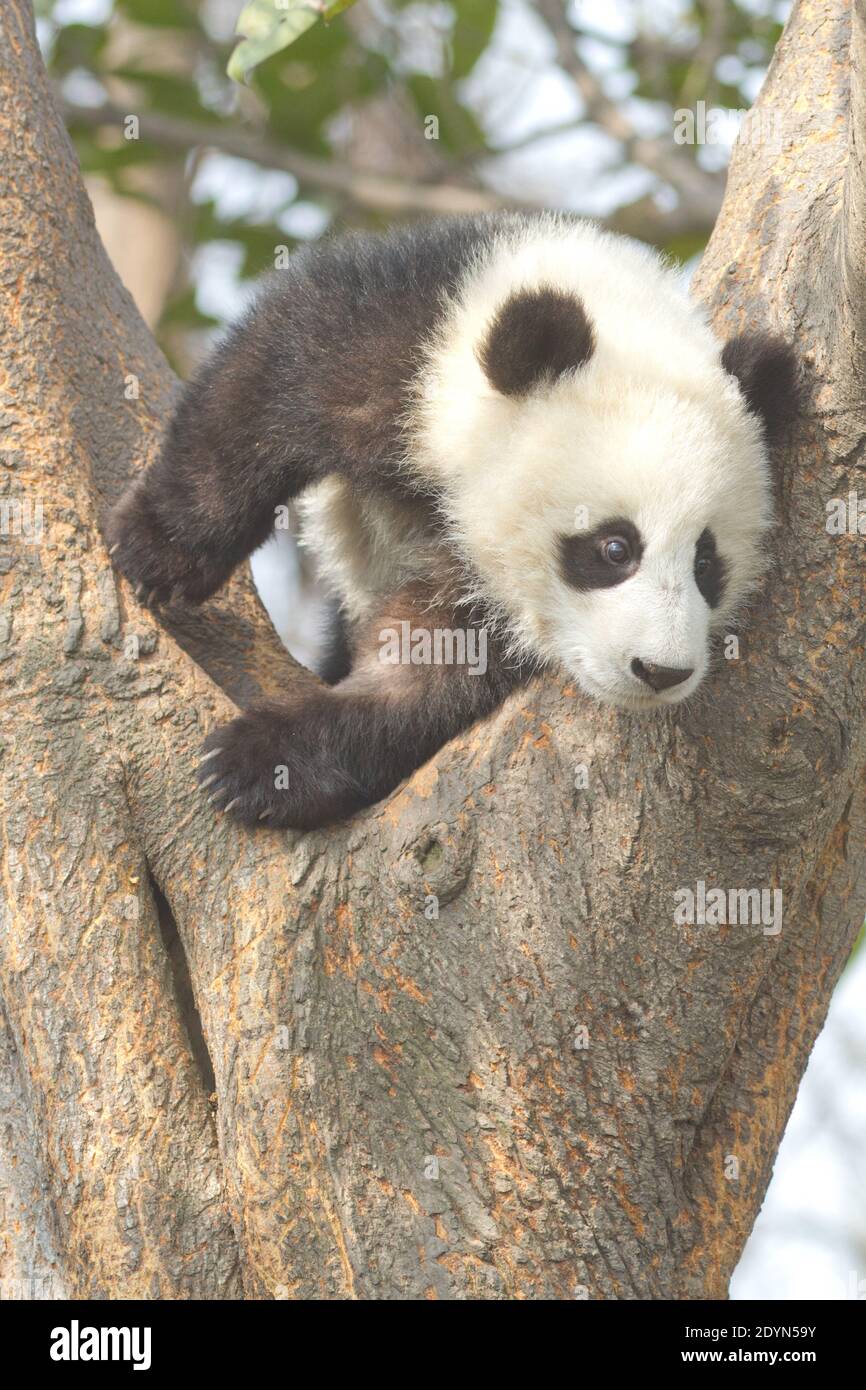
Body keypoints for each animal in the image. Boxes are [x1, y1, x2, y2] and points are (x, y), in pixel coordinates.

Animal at [107, 211, 798, 830]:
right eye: (614, 548)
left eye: (707, 563)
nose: (661, 672)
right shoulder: (414, 335)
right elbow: (268, 380)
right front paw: (155, 553)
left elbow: (427, 677)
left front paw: (263, 764)